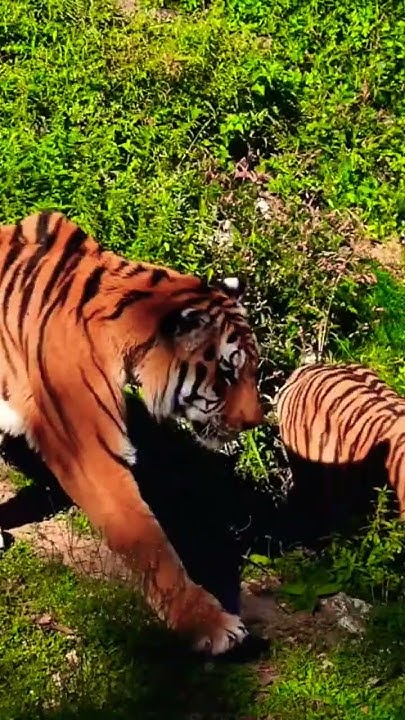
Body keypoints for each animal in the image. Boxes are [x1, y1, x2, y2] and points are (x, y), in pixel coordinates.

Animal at [0, 210, 263, 655]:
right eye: (228, 373)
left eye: (253, 367)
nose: (256, 421)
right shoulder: (91, 452)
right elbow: (153, 546)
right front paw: (209, 625)